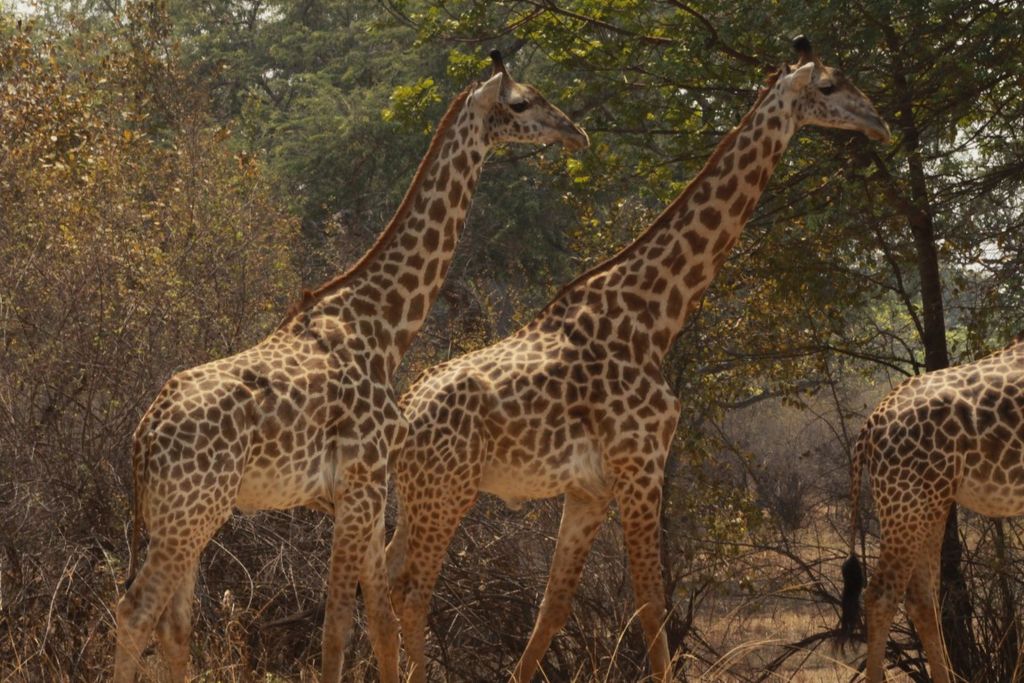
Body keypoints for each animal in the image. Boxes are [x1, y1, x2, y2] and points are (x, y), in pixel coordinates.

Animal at [112, 52, 588, 683]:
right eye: (521, 102)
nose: (574, 131)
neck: (384, 327)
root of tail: (143, 437)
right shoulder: (360, 484)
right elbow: (339, 625)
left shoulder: (363, 491)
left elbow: (379, 621)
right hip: (189, 514)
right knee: (136, 612)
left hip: (184, 518)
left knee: (173, 623)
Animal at [386, 36, 891, 683]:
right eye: (828, 87)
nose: (878, 122)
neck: (653, 317)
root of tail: (404, 413)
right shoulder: (642, 462)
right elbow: (652, 601)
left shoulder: (589, 489)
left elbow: (553, 607)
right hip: (447, 491)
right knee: (411, 590)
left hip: (415, 495)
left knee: (382, 578)